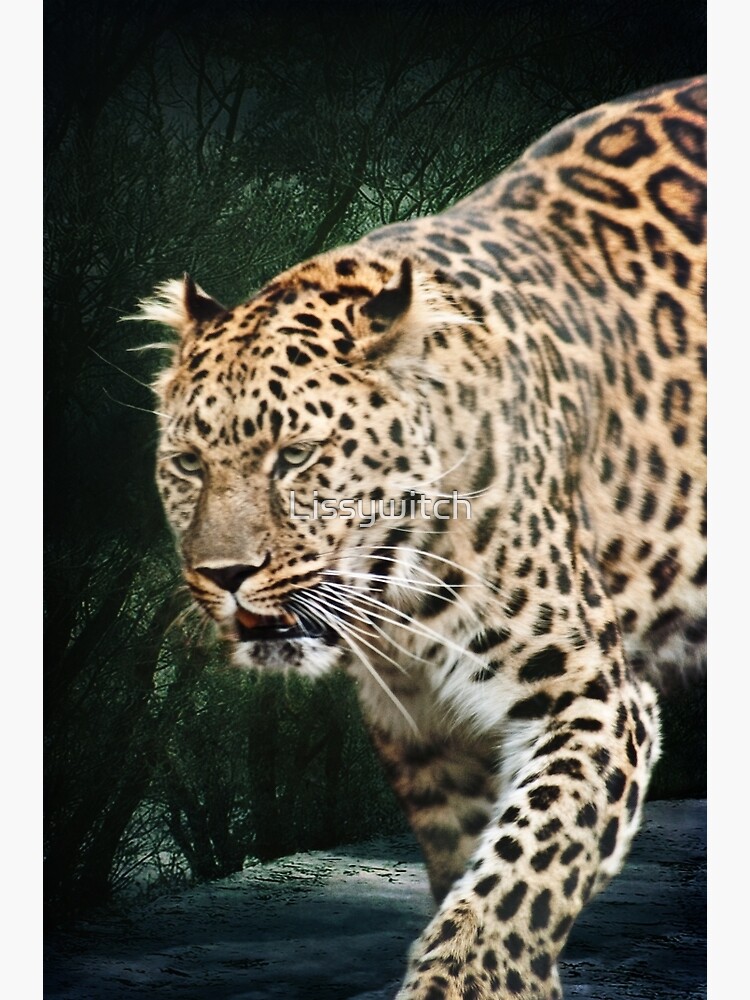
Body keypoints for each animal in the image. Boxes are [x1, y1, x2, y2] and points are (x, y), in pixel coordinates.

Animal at [131, 76, 706, 999]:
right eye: (188, 462)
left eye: (296, 455)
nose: (224, 574)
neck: (400, 594)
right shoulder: (431, 734)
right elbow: (475, 868)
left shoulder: (594, 697)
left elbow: (520, 874)